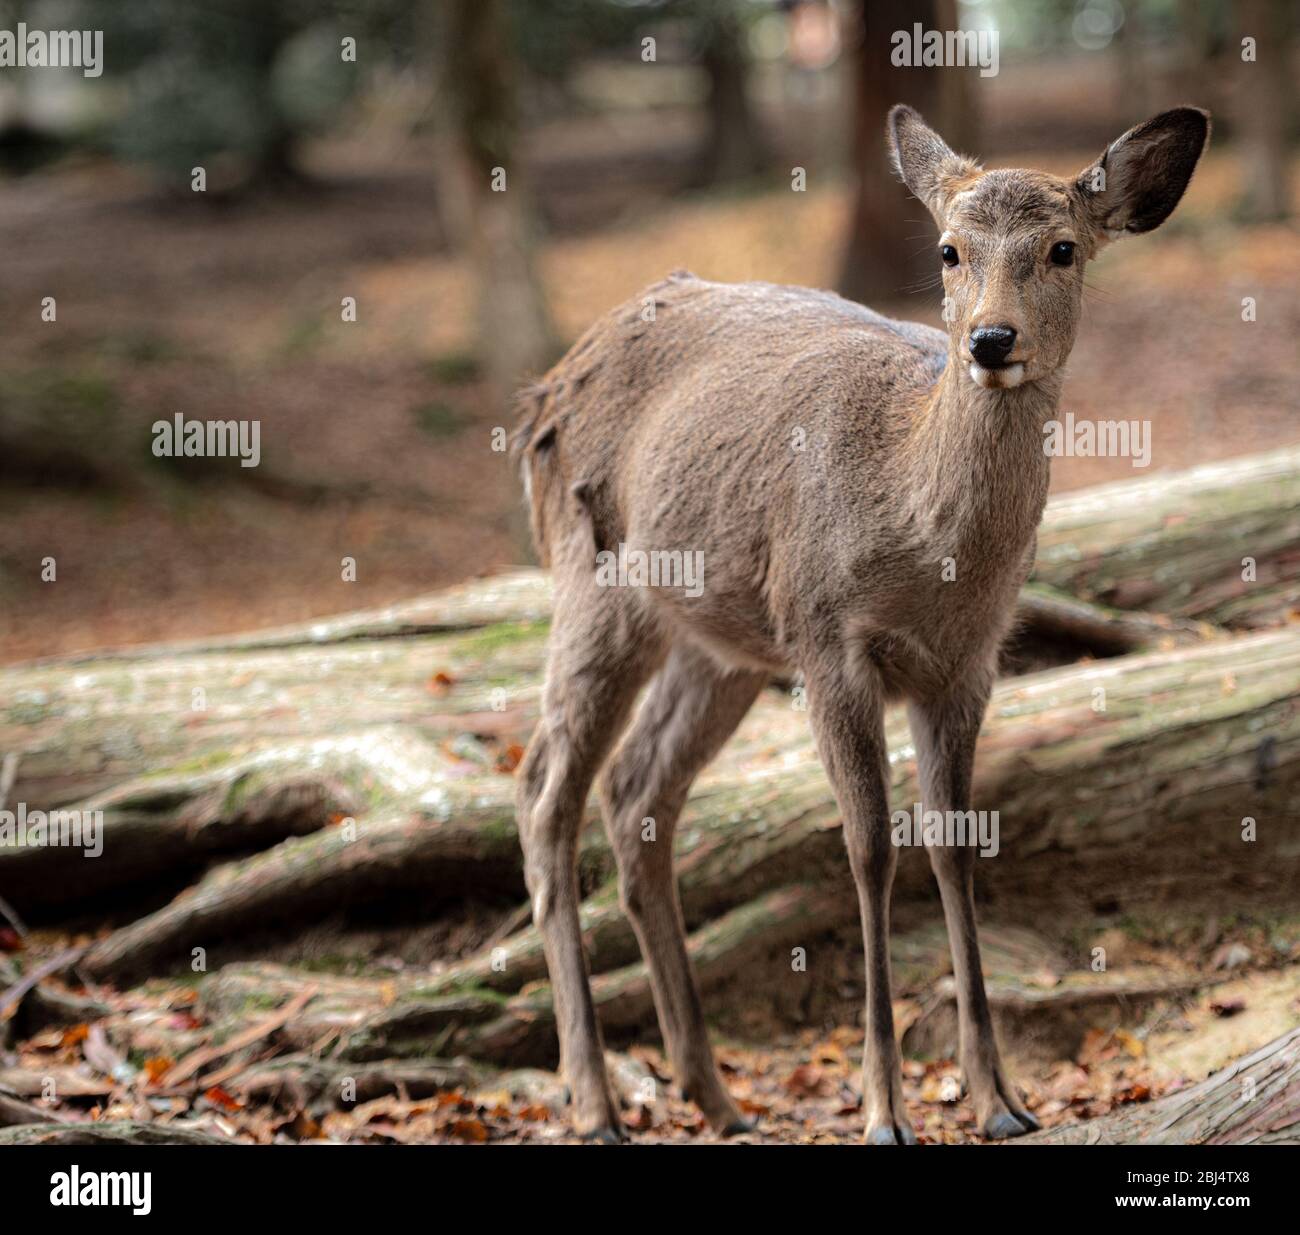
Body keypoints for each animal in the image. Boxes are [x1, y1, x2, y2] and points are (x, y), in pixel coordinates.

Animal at [511, 103, 1209, 1143]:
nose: (990, 340)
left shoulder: (968, 661)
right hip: (594, 579)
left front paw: (1002, 1099)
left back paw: (714, 1094)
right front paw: (885, 1109)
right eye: (950, 249)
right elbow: (871, 846)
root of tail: (542, 391)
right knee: (542, 792)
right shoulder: (828, 638)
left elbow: (955, 842)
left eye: (1063, 248)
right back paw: (593, 1100)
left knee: (635, 792)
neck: (924, 545)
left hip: (724, 643)